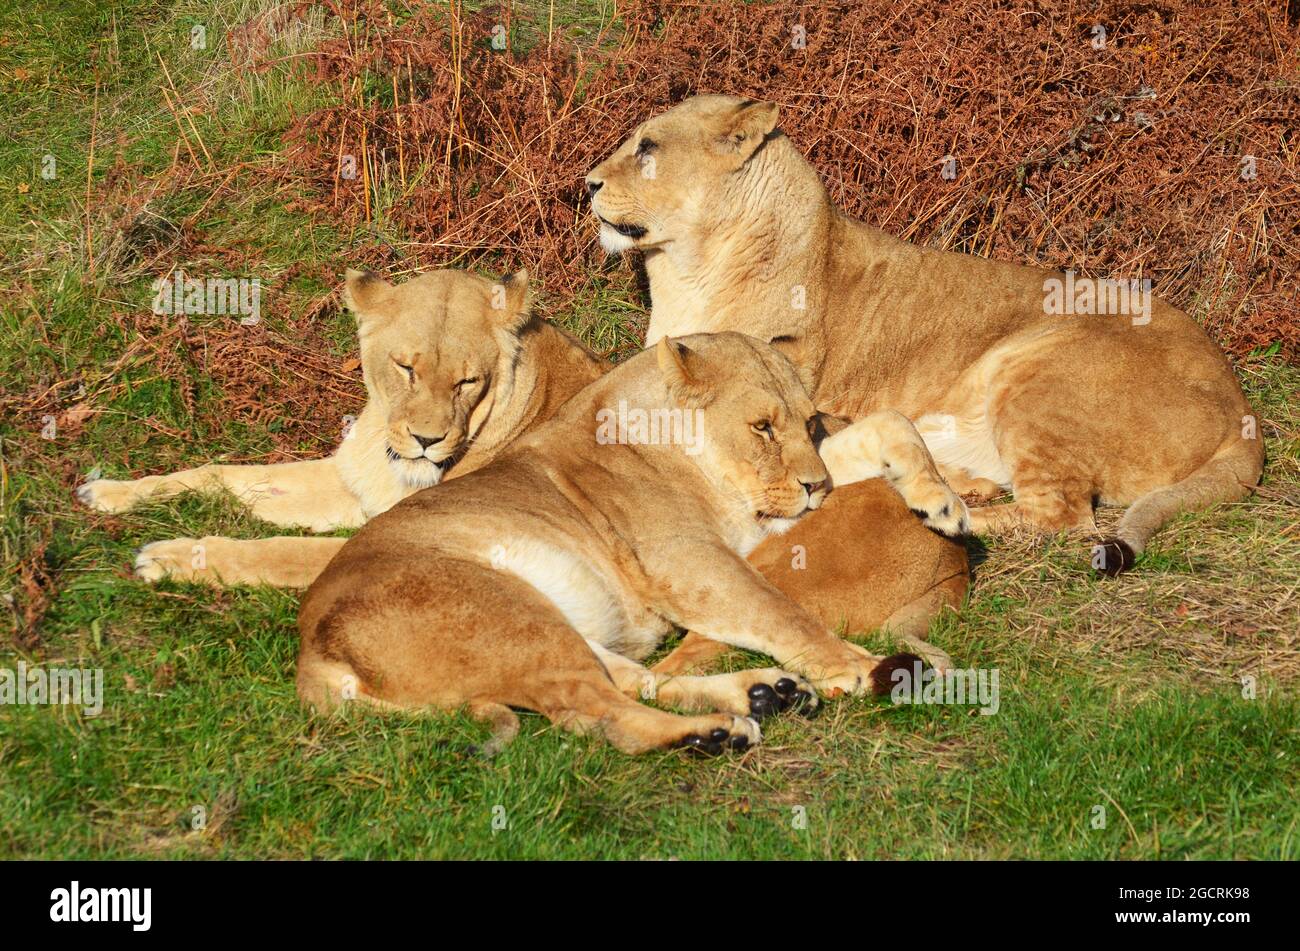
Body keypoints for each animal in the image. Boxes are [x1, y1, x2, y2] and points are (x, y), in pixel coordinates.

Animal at [78, 267, 968, 672]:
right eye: (405, 366)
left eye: (467, 380)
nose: (425, 441)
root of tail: (952, 572)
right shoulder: (353, 480)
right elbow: (221, 473)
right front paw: (115, 492)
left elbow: (268, 549)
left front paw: (169, 556)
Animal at [298, 332, 929, 754]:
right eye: (763, 427)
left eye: (808, 423)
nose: (814, 488)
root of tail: (309, 655)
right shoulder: (688, 561)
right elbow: (777, 610)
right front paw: (855, 665)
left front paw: (929, 492)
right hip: (512, 616)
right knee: (599, 713)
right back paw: (721, 729)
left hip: (555, 627)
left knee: (637, 683)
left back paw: (765, 693)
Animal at [586, 95, 1264, 573]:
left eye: (647, 148)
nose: (587, 183)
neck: (684, 270)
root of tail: (1243, 413)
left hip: (1037, 368)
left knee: (1064, 517)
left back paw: (946, 512)